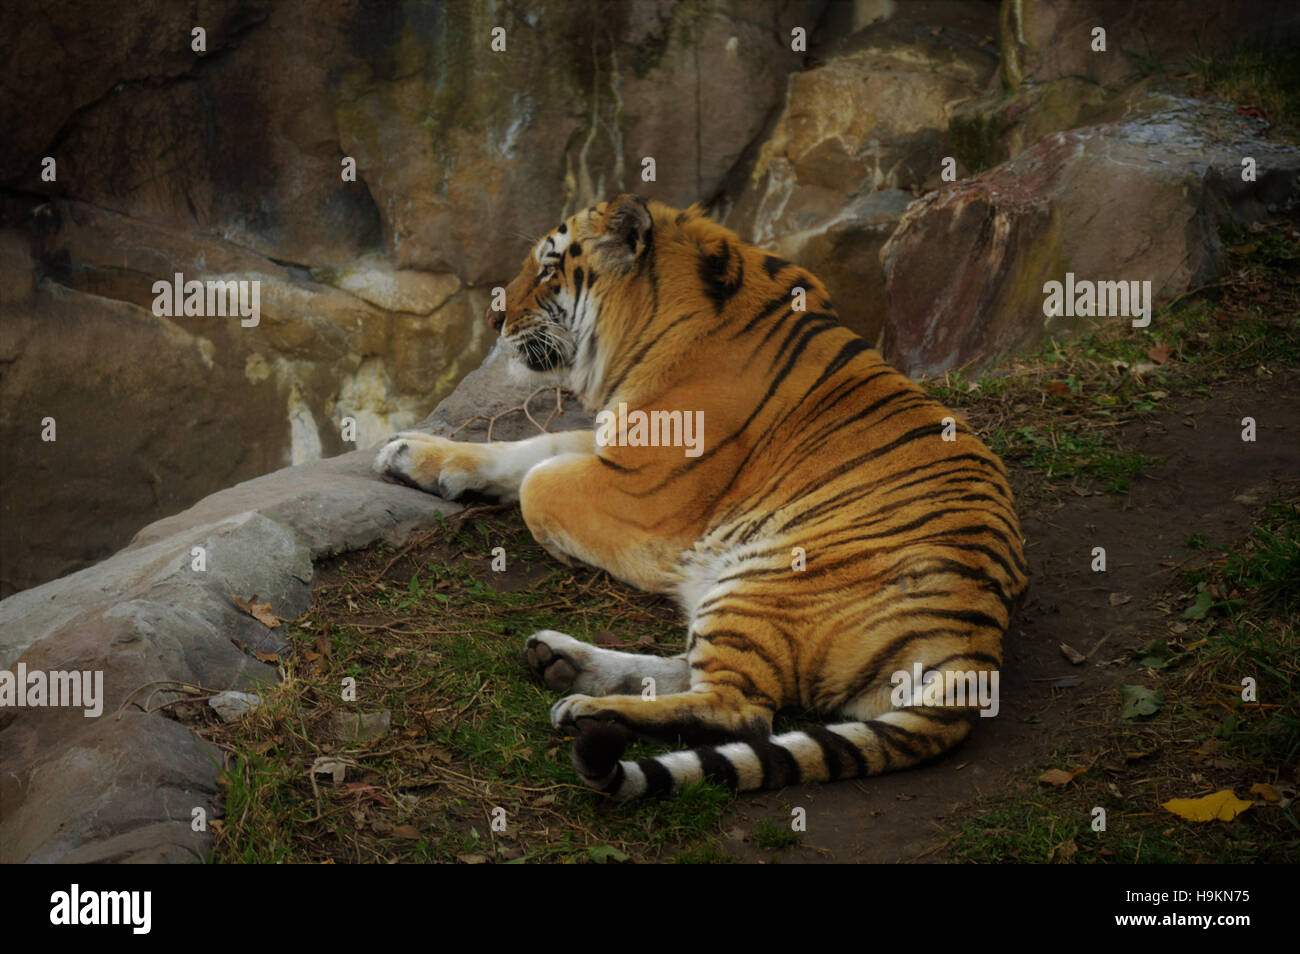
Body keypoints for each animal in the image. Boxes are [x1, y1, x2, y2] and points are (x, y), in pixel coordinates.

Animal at [374, 194, 1027, 800]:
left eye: (548, 268)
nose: (493, 320)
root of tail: (977, 637)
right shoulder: (615, 442)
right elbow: (532, 450)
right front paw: (408, 454)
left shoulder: (644, 494)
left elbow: (539, 479)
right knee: (695, 673)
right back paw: (561, 661)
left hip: (767, 579)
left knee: (740, 711)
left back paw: (589, 709)